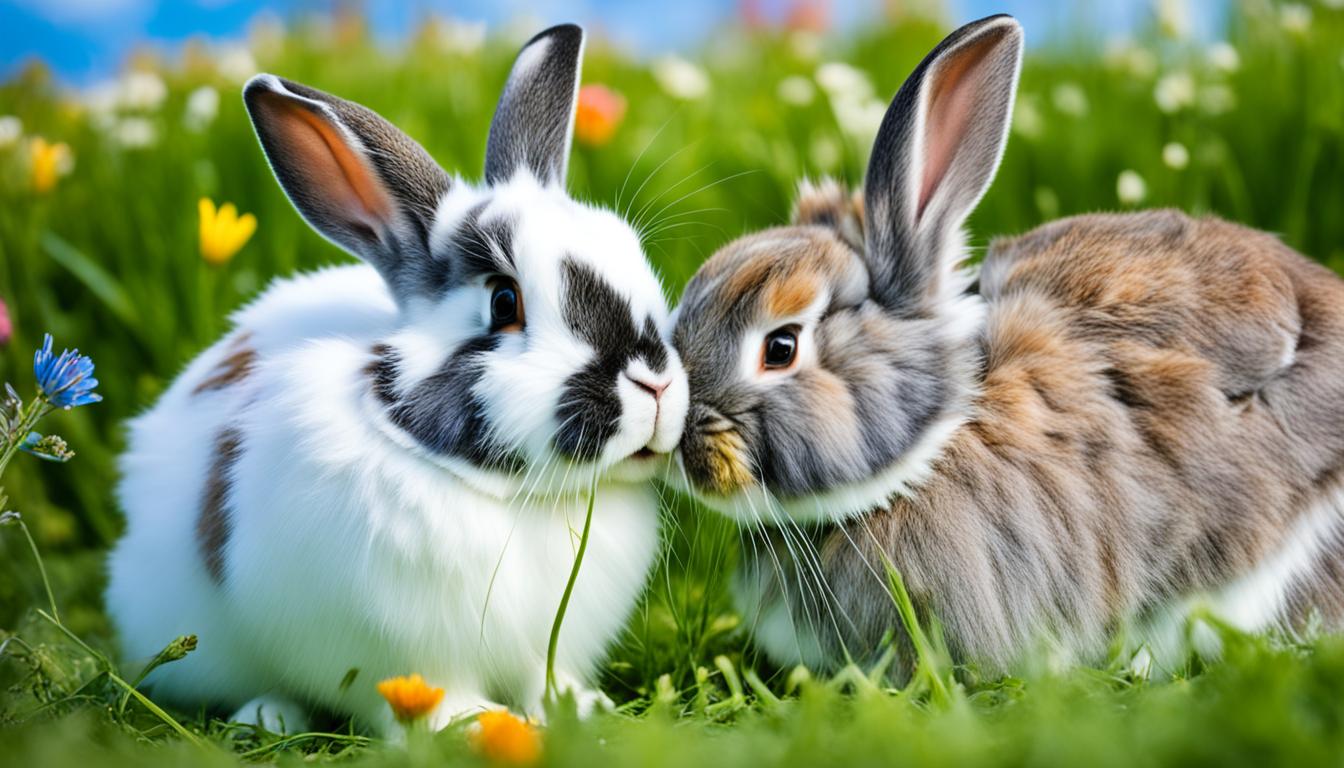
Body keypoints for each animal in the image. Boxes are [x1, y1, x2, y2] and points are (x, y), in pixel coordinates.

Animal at [106, 24, 689, 736]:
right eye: (504, 303)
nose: (655, 384)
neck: (511, 495)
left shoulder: (543, 649)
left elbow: (546, 679)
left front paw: (581, 713)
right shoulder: (395, 647)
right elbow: (428, 694)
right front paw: (478, 729)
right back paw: (268, 715)